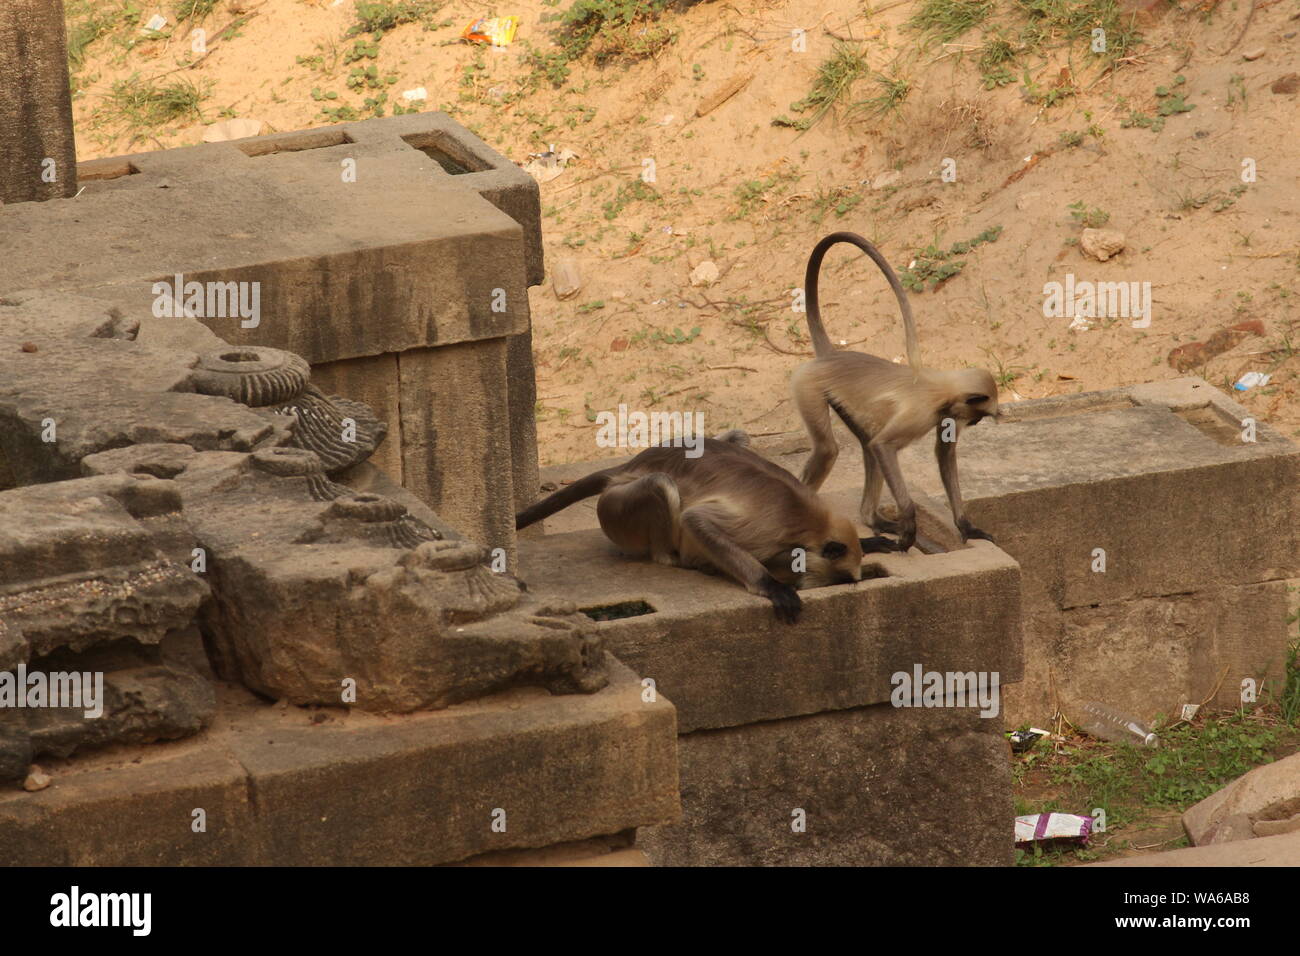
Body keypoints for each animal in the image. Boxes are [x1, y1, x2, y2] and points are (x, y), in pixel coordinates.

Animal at [515, 430, 874, 623]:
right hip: (616, 507)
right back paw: (678, 559)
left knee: (739, 435)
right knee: (661, 484)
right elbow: (696, 520)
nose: (803, 583)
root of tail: (626, 466)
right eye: (835, 580)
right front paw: (771, 585)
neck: (809, 523)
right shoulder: (771, 527)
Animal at [790, 232, 1000, 552]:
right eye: (978, 416)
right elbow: (884, 446)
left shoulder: (946, 412)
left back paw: (872, 520)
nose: (974, 423)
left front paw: (966, 526)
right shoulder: (923, 411)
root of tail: (830, 357)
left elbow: (943, 453)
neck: (942, 386)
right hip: (808, 385)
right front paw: (909, 523)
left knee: (866, 444)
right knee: (832, 449)